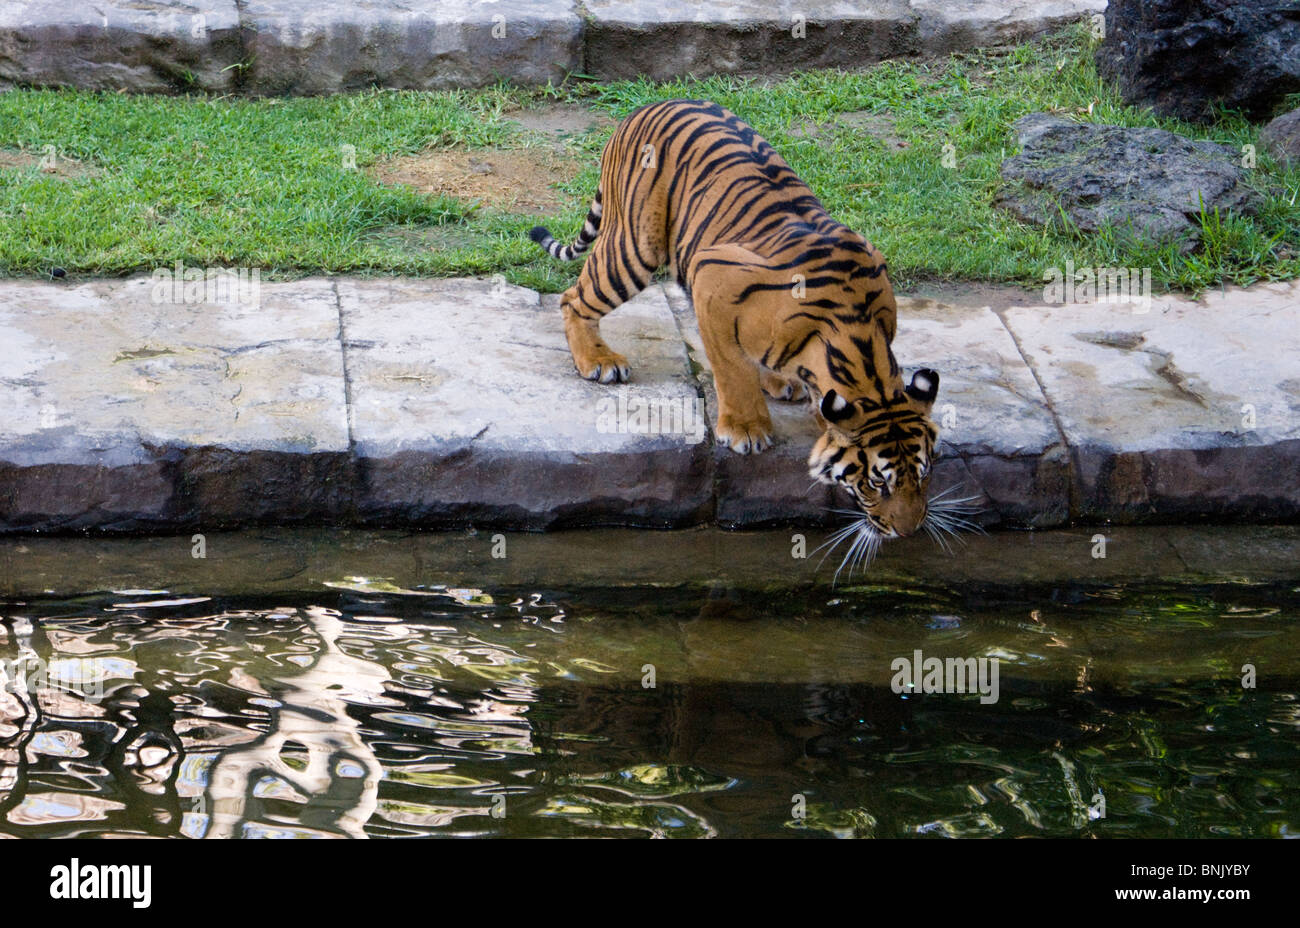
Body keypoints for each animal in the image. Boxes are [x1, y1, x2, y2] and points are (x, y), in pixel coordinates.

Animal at [529, 99, 941, 539]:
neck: (857, 334)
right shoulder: (714, 277)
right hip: (633, 247)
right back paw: (598, 361)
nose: (908, 530)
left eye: (924, 474)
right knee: (573, 298)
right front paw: (746, 429)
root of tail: (648, 105)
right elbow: (732, 367)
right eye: (878, 482)